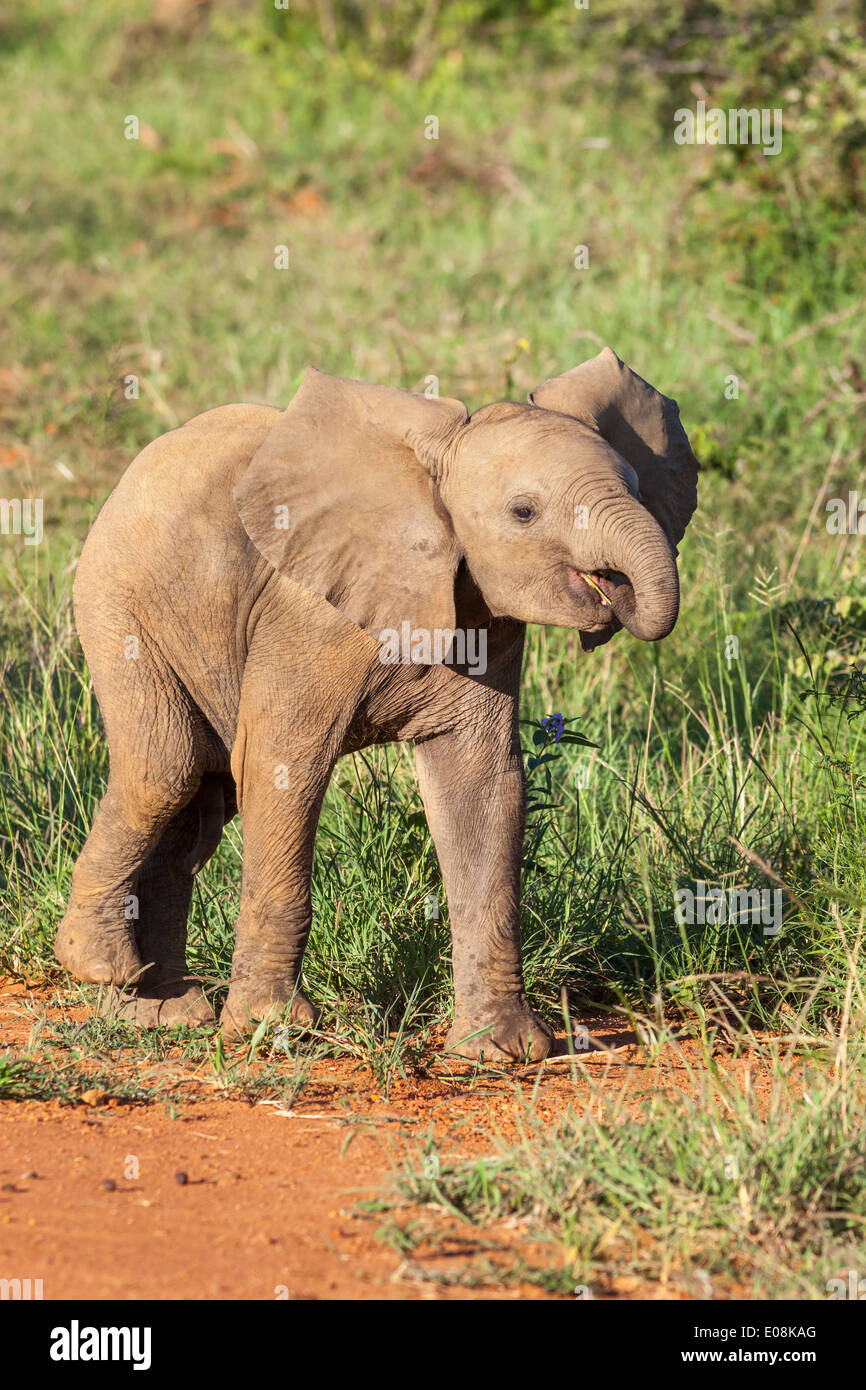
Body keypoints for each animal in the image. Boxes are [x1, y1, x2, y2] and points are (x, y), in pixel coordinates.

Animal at [54, 346, 698, 1061]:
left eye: (638, 489)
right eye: (524, 512)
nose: (615, 599)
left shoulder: (485, 620)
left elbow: (481, 787)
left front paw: (502, 1052)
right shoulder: (308, 612)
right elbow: (281, 768)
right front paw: (273, 1030)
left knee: (195, 806)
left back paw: (161, 1013)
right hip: (116, 600)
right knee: (165, 771)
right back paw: (104, 969)